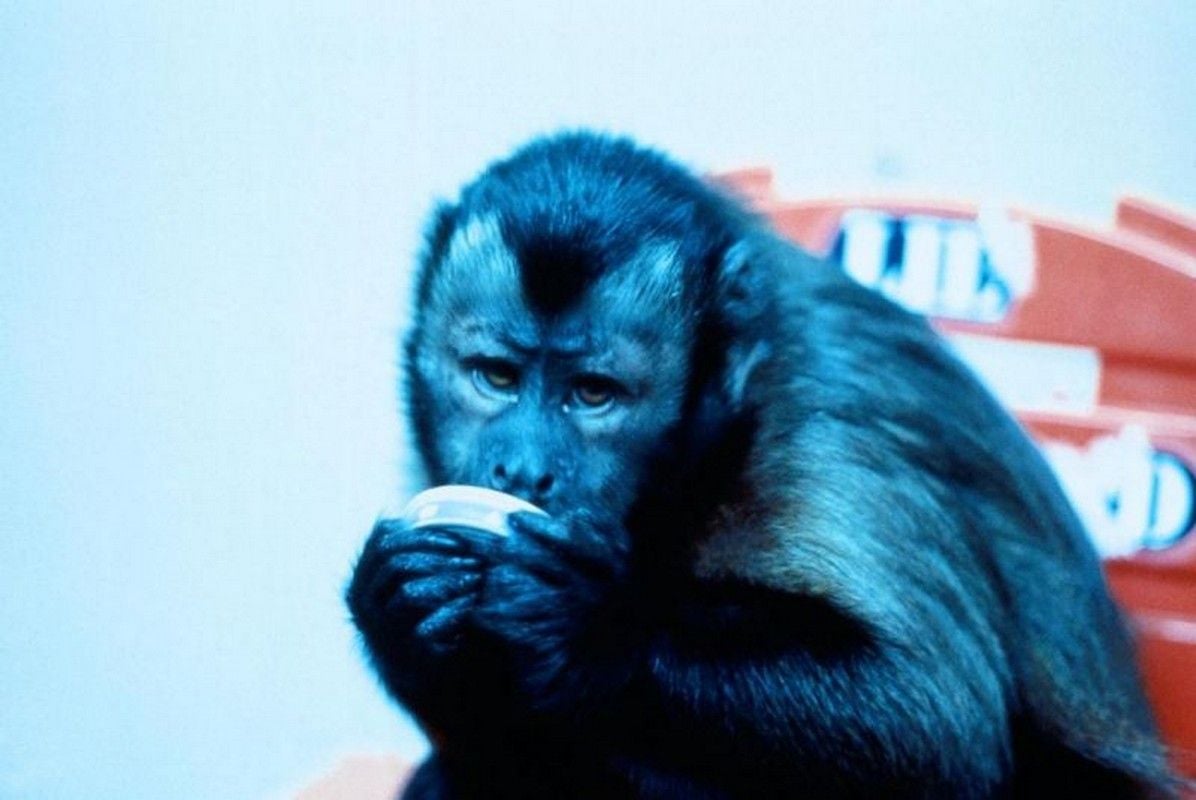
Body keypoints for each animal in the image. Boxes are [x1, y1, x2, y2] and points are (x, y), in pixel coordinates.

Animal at [345, 131, 1176, 798]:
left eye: (593, 394)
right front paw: (397, 607)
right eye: (495, 376)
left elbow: (930, 721)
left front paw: (598, 628)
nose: (521, 471)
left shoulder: (816, 427)